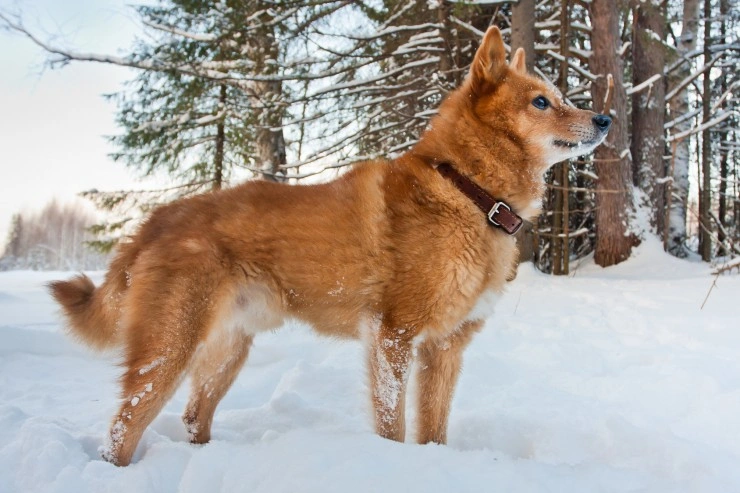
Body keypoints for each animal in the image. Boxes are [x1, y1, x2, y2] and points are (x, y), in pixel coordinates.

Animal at [49, 26, 608, 466]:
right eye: (541, 102)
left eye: (558, 96)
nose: (604, 120)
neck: (468, 192)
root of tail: (156, 219)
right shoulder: (392, 337)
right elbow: (393, 428)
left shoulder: (445, 348)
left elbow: (434, 432)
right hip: (168, 350)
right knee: (121, 430)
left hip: (227, 351)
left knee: (192, 417)